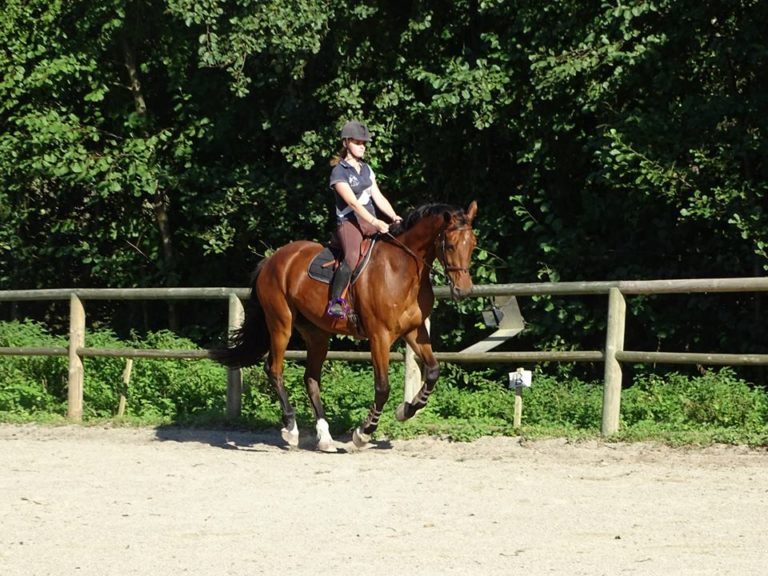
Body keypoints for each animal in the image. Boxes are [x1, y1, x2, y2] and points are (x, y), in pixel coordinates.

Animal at [210, 201, 478, 451]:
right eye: (450, 245)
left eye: (473, 245)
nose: (463, 291)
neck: (401, 269)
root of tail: (272, 259)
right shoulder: (379, 336)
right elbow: (382, 387)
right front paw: (363, 432)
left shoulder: (414, 330)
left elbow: (432, 371)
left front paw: (406, 410)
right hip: (280, 324)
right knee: (274, 369)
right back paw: (291, 428)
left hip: (317, 334)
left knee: (311, 379)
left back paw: (325, 438)